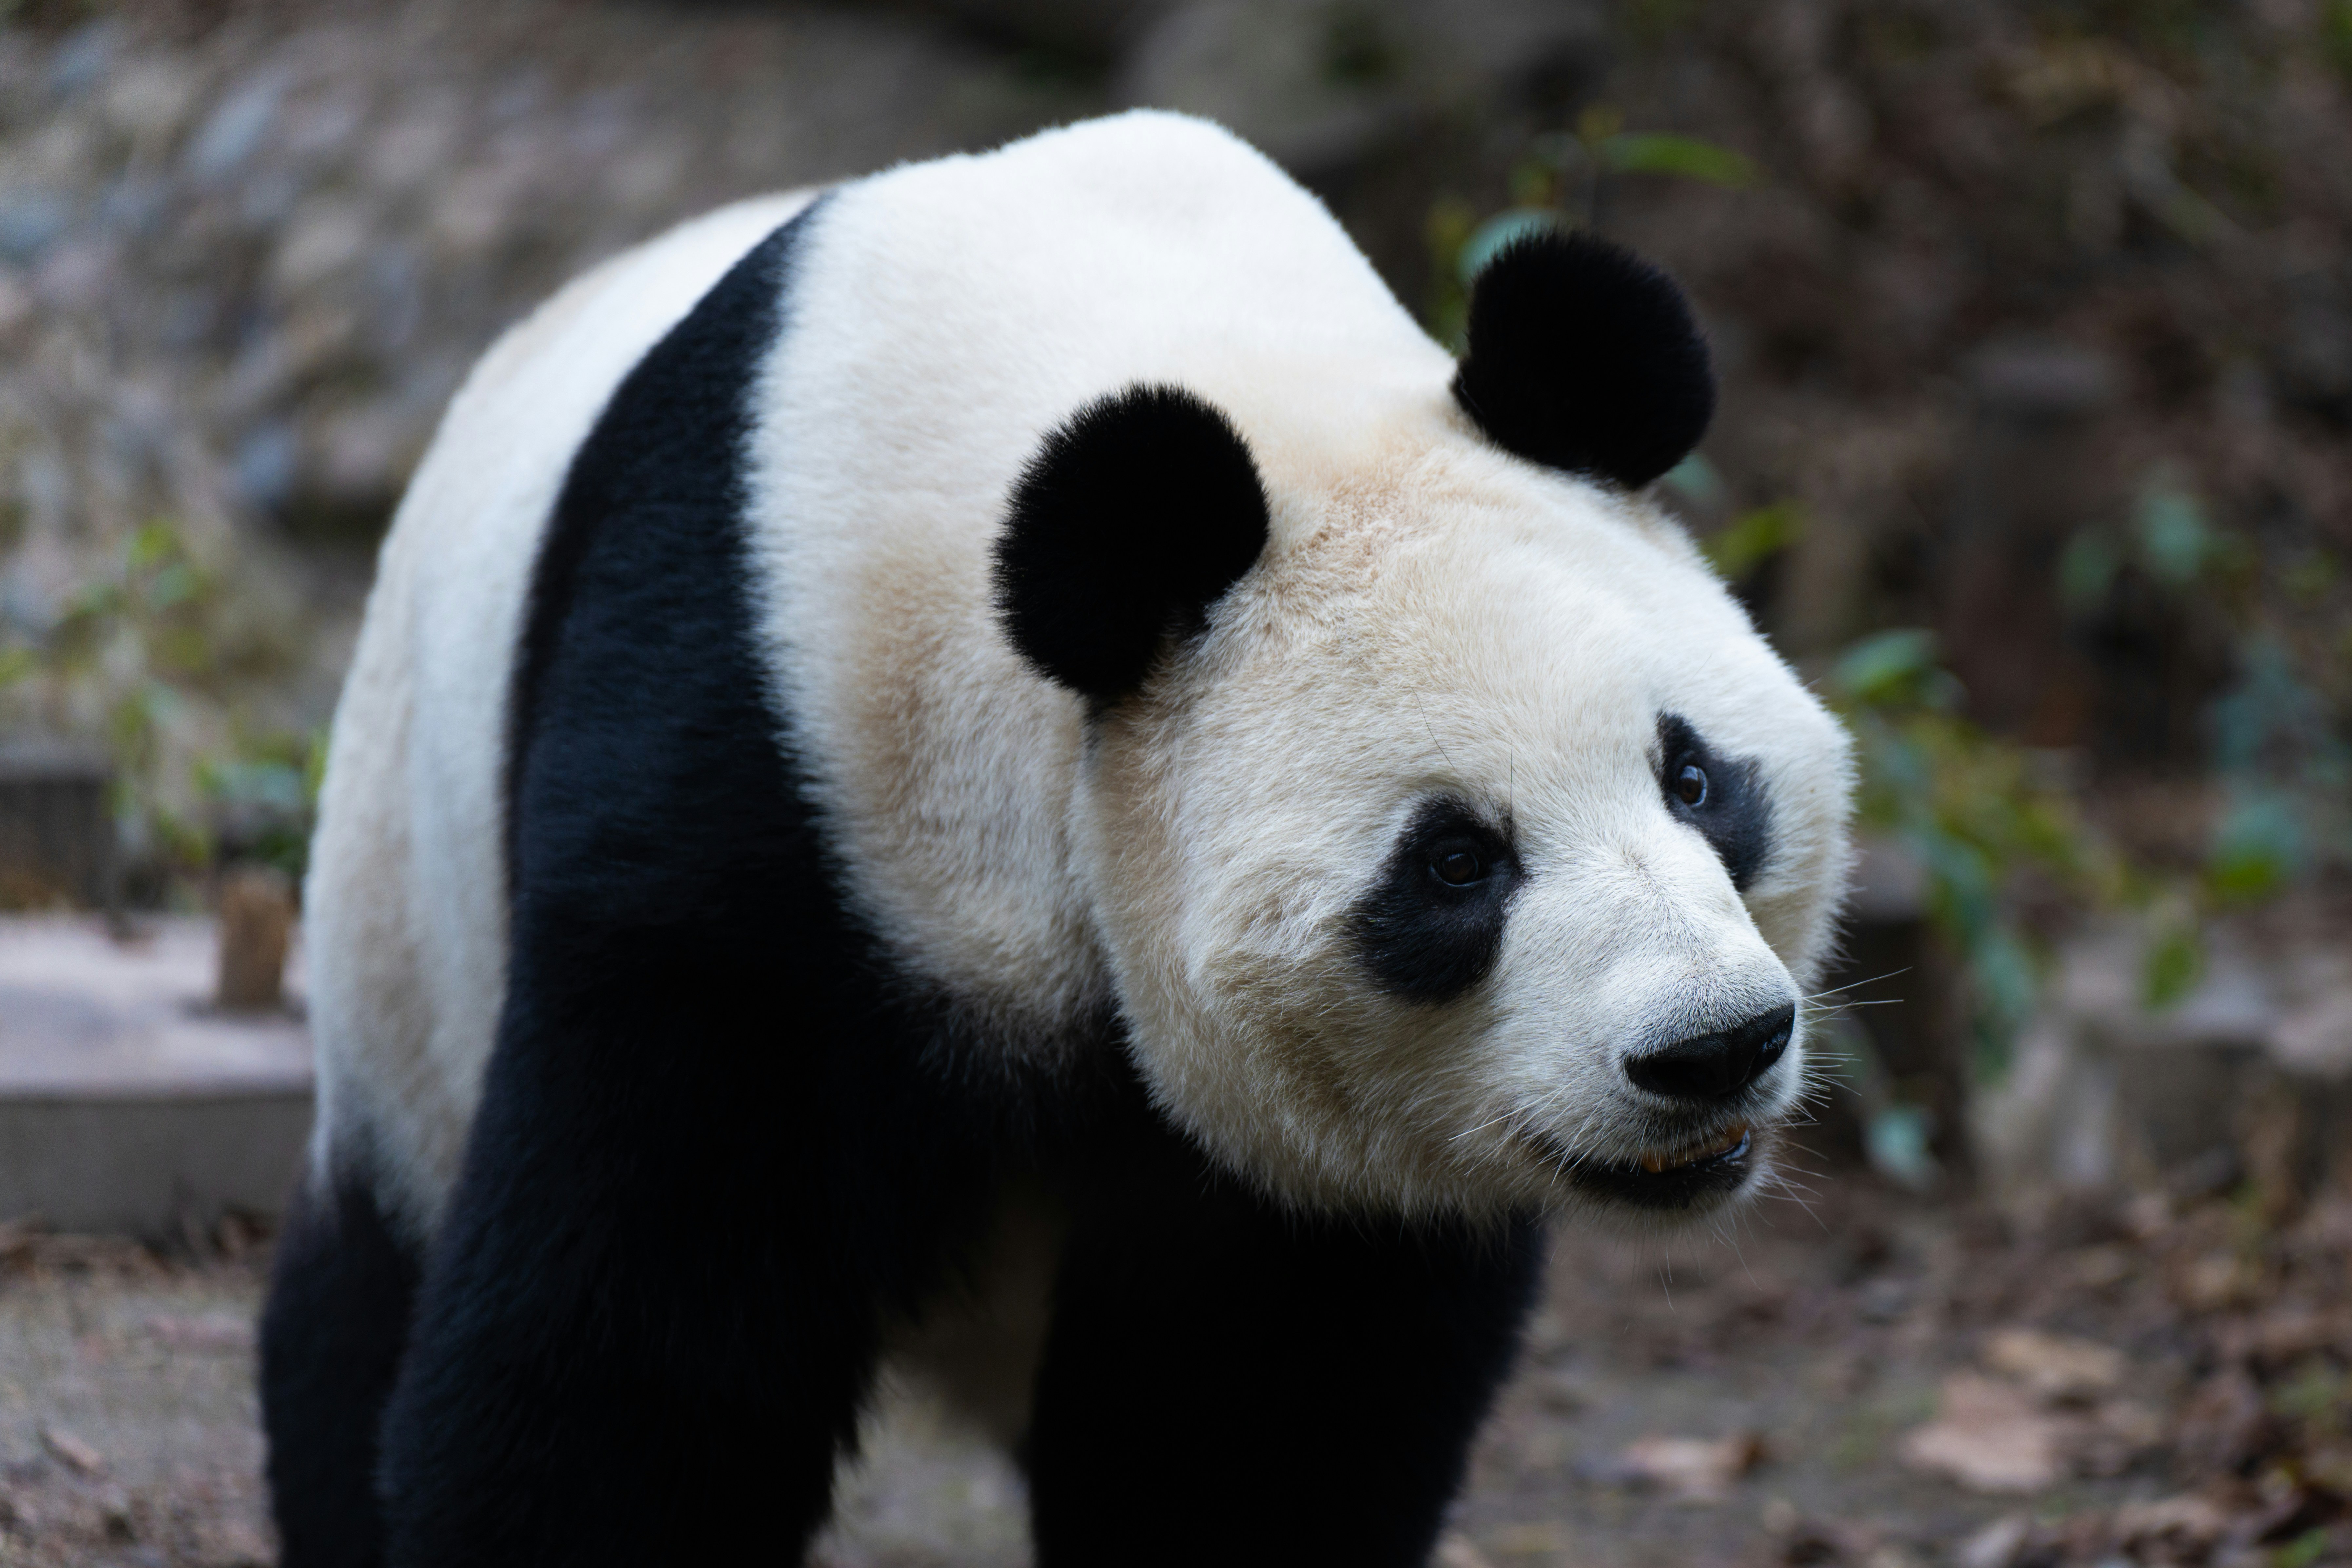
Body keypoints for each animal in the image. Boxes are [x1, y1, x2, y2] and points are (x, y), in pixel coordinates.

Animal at [259, 110, 1853, 1568]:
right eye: (1454, 862)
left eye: (1691, 779)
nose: (1711, 1045)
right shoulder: (749, 783)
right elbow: (631, 1355)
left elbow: (1263, 1415)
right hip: (405, 935)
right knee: (357, 1308)